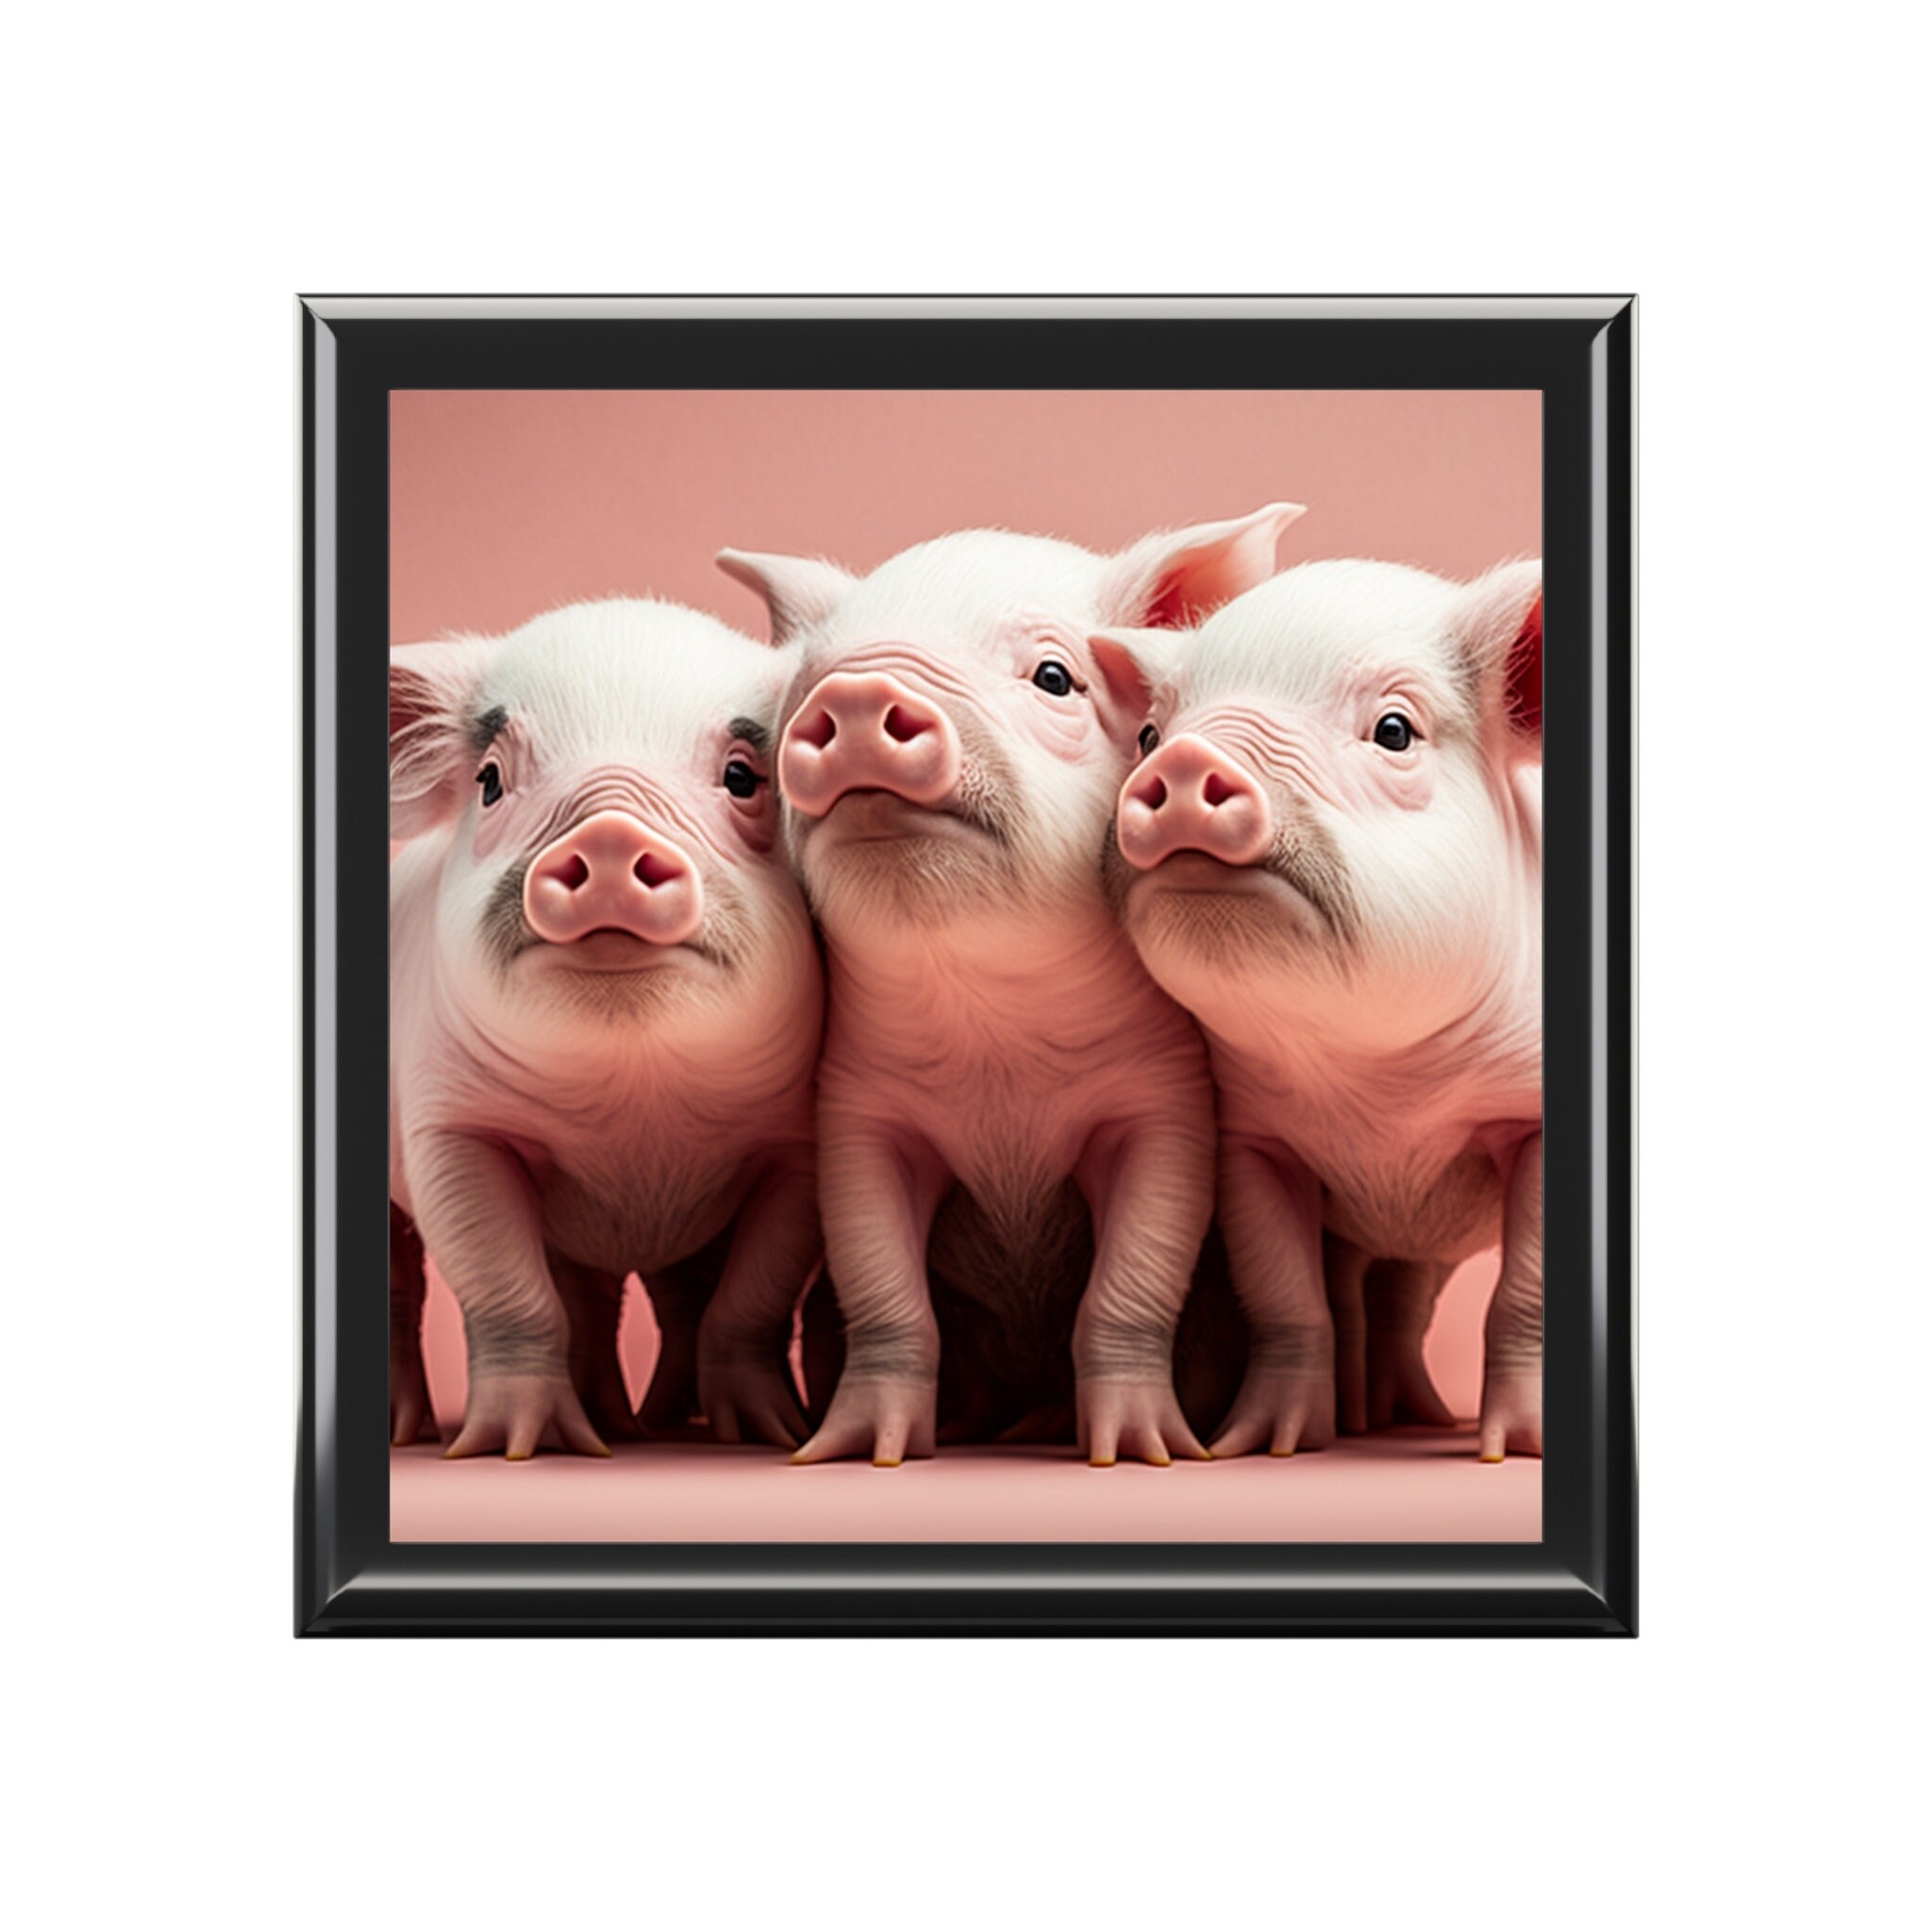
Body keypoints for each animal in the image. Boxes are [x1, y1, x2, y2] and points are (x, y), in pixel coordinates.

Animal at [388, 598, 825, 1458]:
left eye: (742, 776)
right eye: (490, 781)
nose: (611, 835)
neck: (629, 1115)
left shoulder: (797, 1147)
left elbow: (752, 1297)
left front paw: (768, 1436)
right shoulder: (448, 1128)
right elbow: (505, 1287)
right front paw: (506, 1448)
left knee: (633, 1298)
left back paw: (637, 1425)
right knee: (406, 1292)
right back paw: (416, 1432)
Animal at [717, 505, 1304, 1465]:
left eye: (1054, 676)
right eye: (807, 683)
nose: (856, 693)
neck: (994, 1039)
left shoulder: (1164, 1104)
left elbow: (1130, 1282)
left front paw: (1140, 1452)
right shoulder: (860, 1113)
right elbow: (885, 1290)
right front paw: (859, 1451)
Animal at [1103, 558, 1544, 1460]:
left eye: (1395, 731)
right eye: (1150, 737)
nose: (1192, 757)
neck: (1382, 1103)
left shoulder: (1533, 1122)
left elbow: (1524, 1293)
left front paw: (1510, 1450)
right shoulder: (1254, 1141)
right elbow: (1286, 1294)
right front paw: (1259, 1447)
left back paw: (1423, 1422)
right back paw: (1367, 1421)